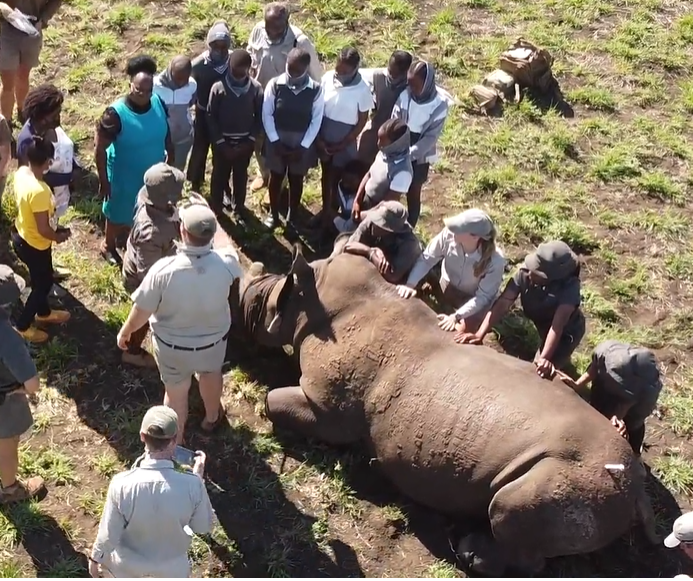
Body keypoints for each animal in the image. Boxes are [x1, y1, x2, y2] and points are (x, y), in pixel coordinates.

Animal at [235, 246, 658, 575]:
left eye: (263, 304)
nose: (238, 314)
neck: (317, 298)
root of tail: (637, 485)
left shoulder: (328, 410)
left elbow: (274, 401)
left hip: (580, 477)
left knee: (510, 507)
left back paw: (471, 553)